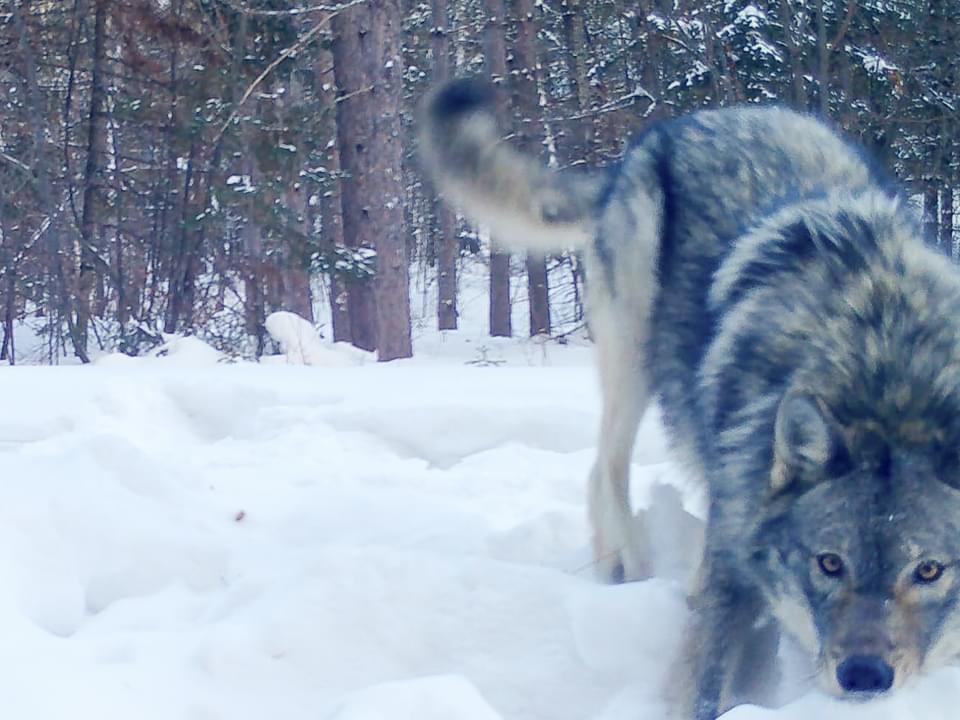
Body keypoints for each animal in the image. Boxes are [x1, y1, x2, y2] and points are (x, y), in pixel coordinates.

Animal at [419, 78, 960, 719]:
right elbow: (703, 681)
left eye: (928, 570)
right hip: (634, 358)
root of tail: (693, 122)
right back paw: (623, 567)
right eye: (830, 563)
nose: (864, 676)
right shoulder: (728, 562)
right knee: (604, 470)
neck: (889, 374)